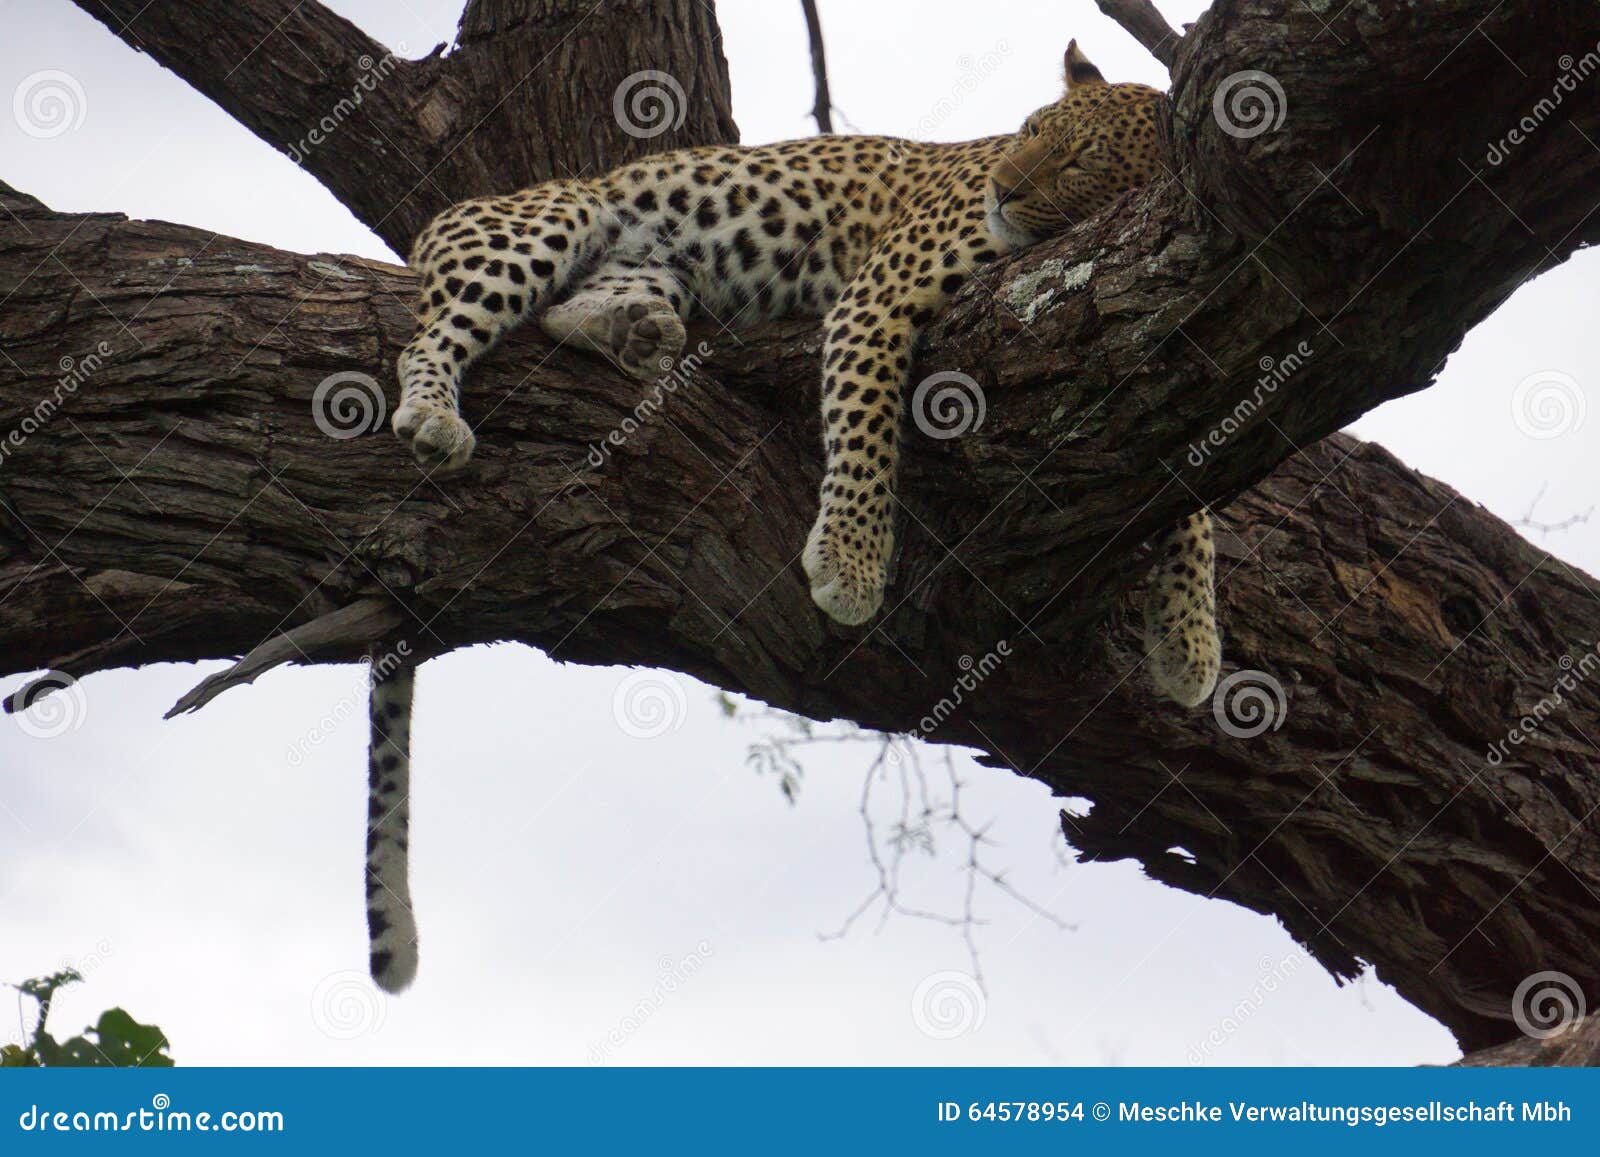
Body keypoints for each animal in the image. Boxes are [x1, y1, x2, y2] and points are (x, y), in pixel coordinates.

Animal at [361, 40, 1221, 994]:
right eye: (1031, 131)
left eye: (1078, 164)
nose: (1002, 189)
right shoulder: (882, 291)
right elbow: (868, 420)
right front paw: (850, 562)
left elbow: (1196, 496)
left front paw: (1189, 641)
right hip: (547, 222)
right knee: (432, 334)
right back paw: (435, 417)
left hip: (644, 263)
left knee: (564, 311)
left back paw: (637, 330)